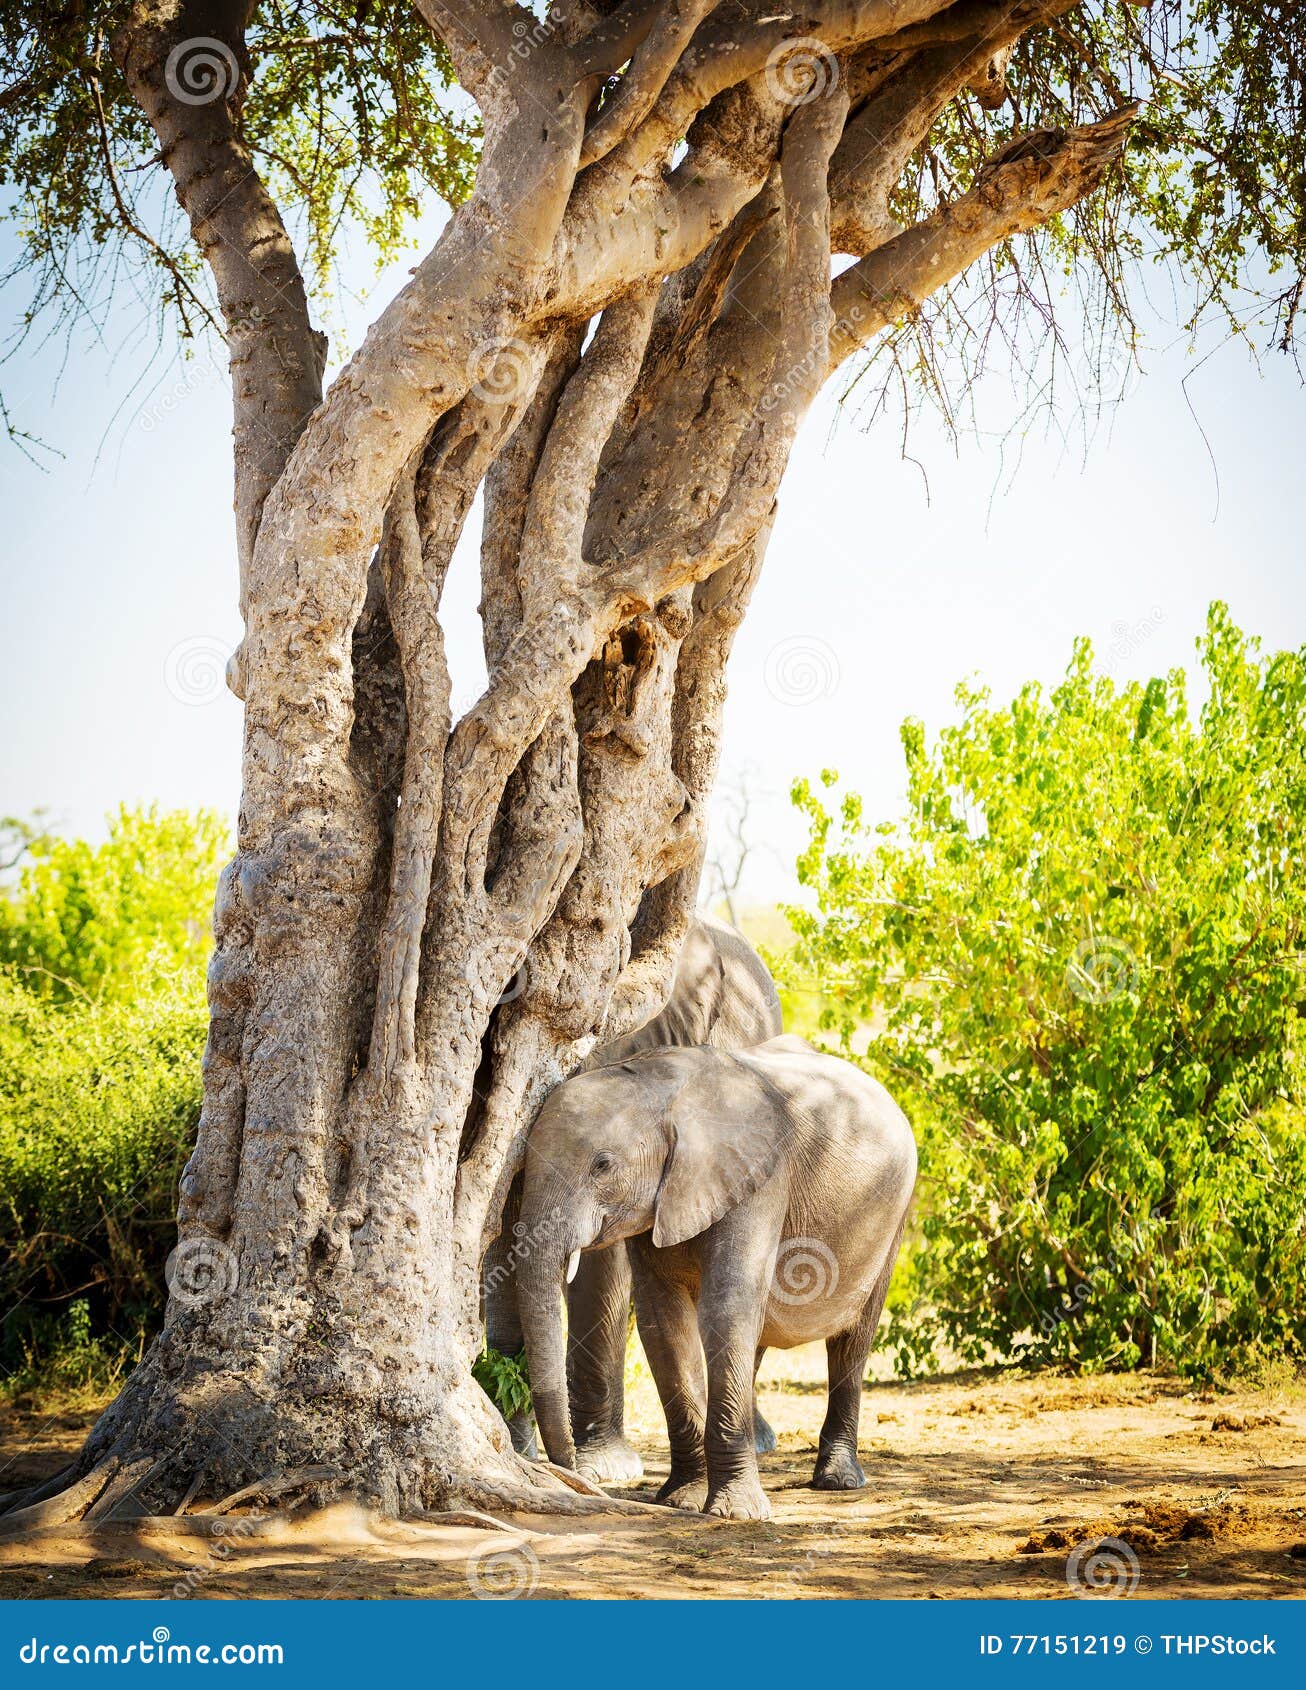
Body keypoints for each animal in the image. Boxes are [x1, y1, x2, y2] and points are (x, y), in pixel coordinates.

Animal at [516, 1034, 916, 1521]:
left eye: (602, 1165)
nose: (572, 1472)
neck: (660, 1085)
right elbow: (663, 1323)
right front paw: (683, 1499)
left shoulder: (759, 1179)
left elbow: (725, 1306)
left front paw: (736, 1514)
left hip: (893, 1216)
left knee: (851, 1342)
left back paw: (838, 1481)